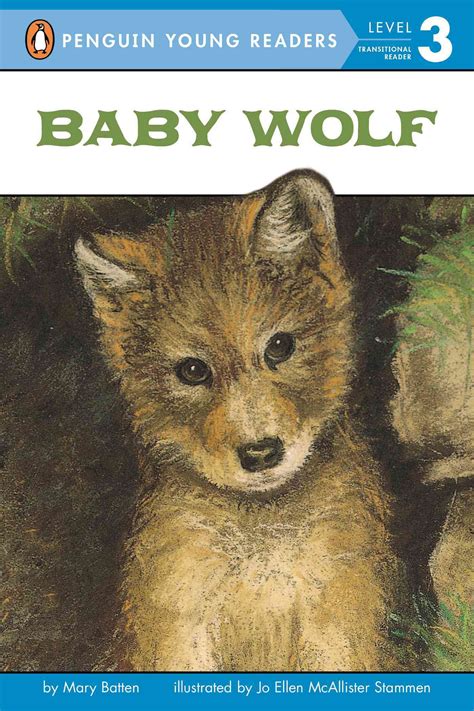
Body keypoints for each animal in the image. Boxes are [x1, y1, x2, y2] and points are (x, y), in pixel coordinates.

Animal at [75, 170, 406, 671]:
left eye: (280, 347)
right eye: (193, 371)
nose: (261, 454)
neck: (260, 535)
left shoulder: (338, 624)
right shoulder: (178, 632)